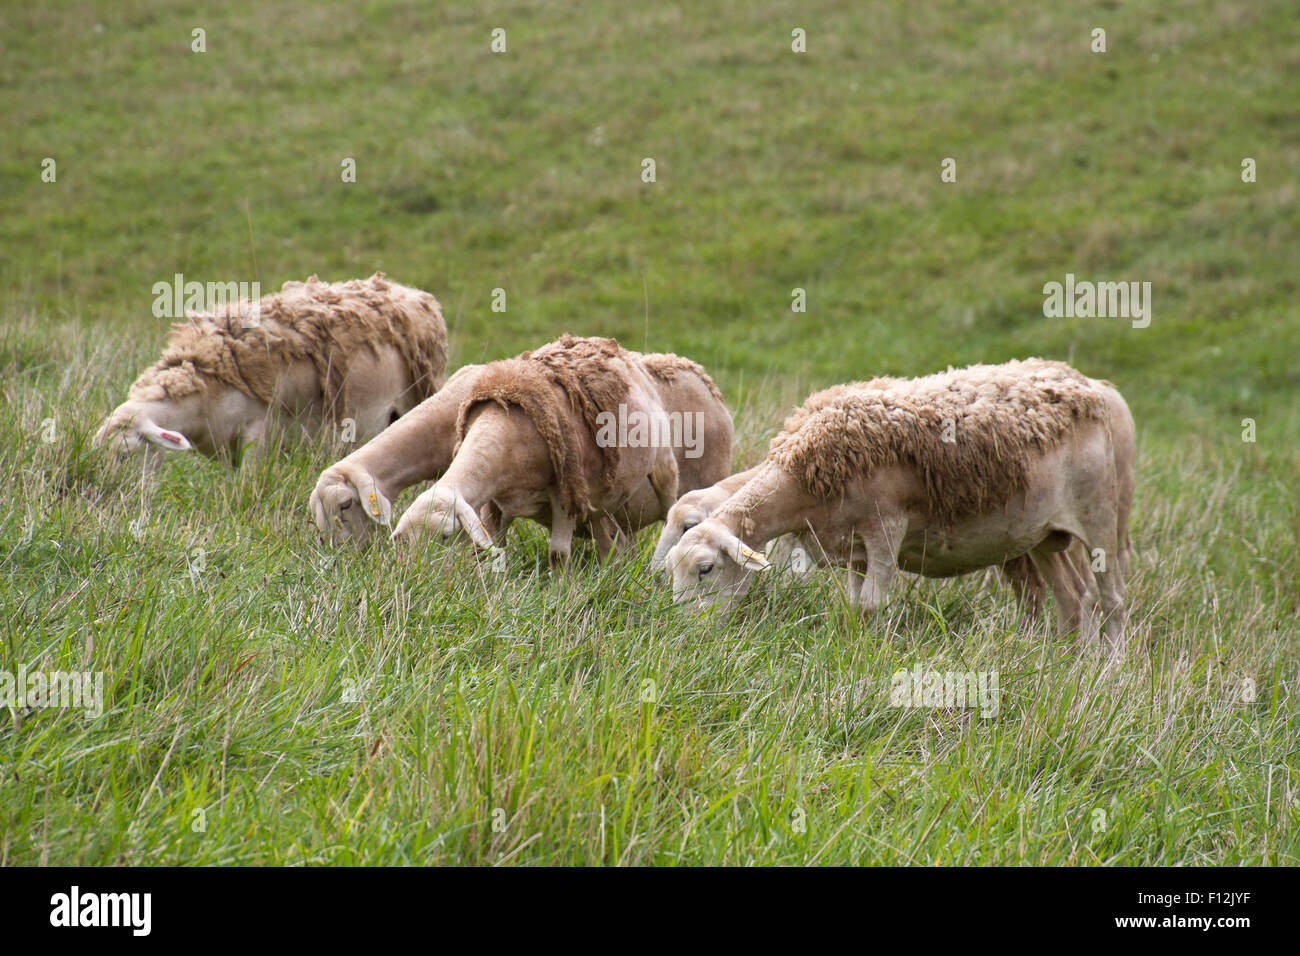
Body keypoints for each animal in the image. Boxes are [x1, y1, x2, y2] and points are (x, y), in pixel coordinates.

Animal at [665, 359, 1136, 662]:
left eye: (705, 569)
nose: (682, 632)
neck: (807, 473)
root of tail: (1097, 391)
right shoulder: (852, 546)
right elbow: (854, 604)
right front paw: (852, 646)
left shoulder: (885, 527)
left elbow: (872, 605)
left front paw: (867, 656)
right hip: (1043, 534)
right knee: (1072, 599)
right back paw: (1066, 664)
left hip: (1100, 518)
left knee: (1111, 600)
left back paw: (1111, 669)